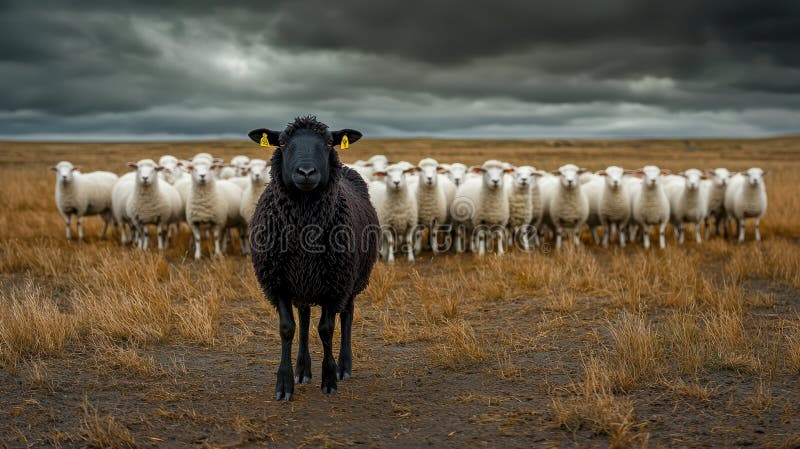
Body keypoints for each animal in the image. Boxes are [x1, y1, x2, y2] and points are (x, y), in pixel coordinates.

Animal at [247, 116, 378, 400]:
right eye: (282, 142)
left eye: (328, 143)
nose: (306, 172)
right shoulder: (278, 282)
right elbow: (288, 329)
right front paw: (285, 383)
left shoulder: (335, 284)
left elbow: (327, 329)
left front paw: (329, 378)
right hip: (303, 283)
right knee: (304, 319)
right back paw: (302, 369)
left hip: (353, 279)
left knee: (347, 315)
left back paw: (344, 366)